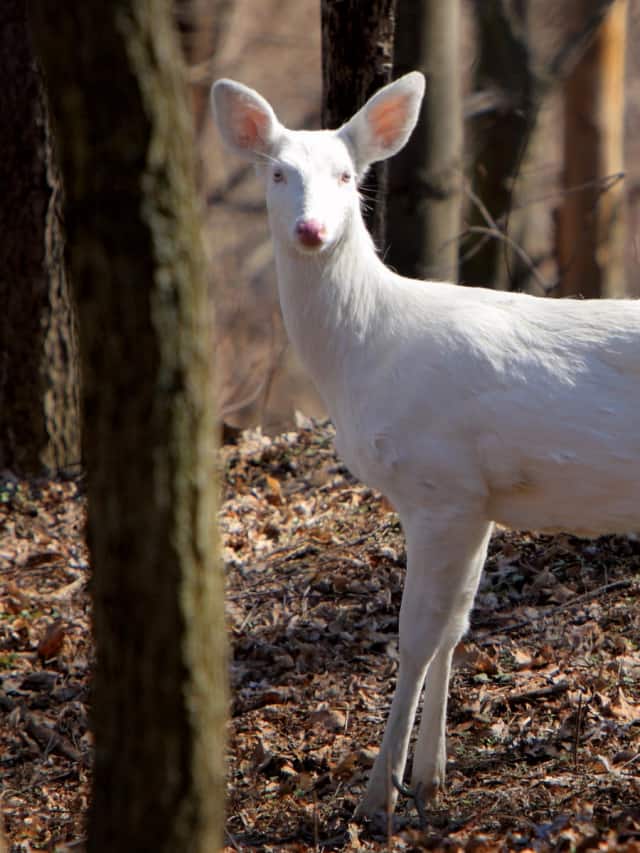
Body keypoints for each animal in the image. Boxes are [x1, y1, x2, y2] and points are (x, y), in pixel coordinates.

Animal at [212, 71, 640, 819]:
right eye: (278, 172)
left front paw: (377, 794)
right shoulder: (478, 498)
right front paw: (432, 773)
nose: (311, 229)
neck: (366, 355)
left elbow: (414, 638)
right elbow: (456, 625)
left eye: (347, 175)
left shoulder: (439, 486)